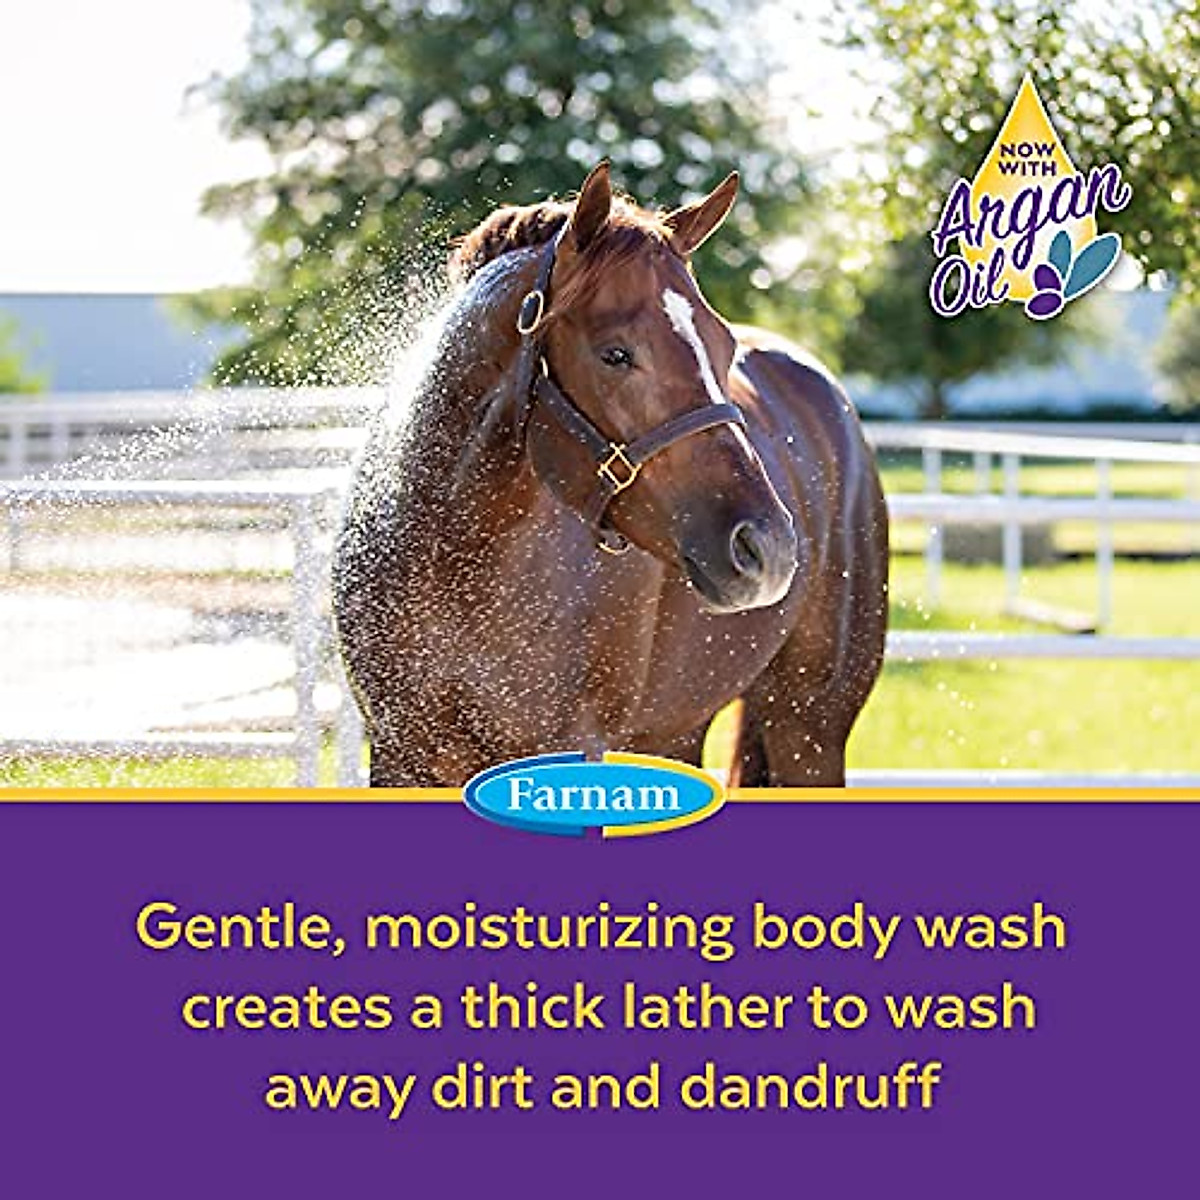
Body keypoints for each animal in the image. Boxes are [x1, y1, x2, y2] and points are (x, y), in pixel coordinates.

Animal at [333, 162, 888, 787]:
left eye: (723, 348)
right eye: (615, 354)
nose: (768, 548)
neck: (453, 559)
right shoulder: (398, 756)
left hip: (809, 729)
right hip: (678, 731)